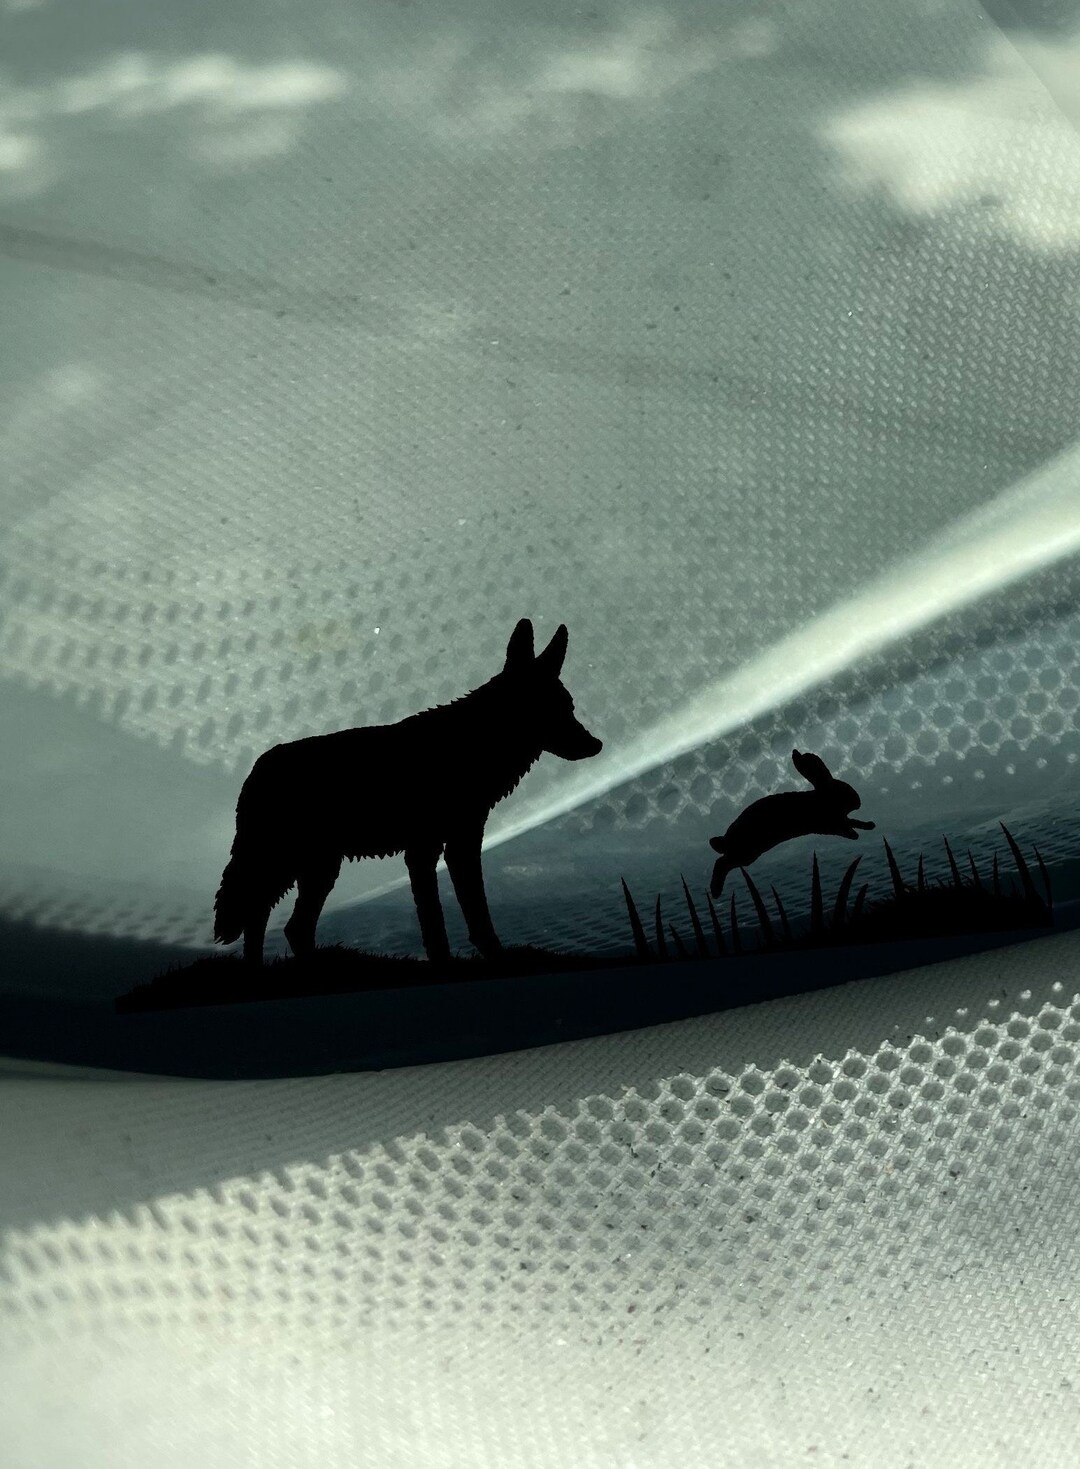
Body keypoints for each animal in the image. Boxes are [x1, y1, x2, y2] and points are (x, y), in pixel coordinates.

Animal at [709, 749, 875, 897]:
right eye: (843, 788)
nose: (857, 802)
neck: (821, 798)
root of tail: (724, 842)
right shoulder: (833, 822)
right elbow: (849, 828)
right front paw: (858, 834)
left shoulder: (839, 820)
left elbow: (855, 823)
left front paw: (870, 825)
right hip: (744, 854)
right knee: (721, 862)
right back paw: (715, 891)